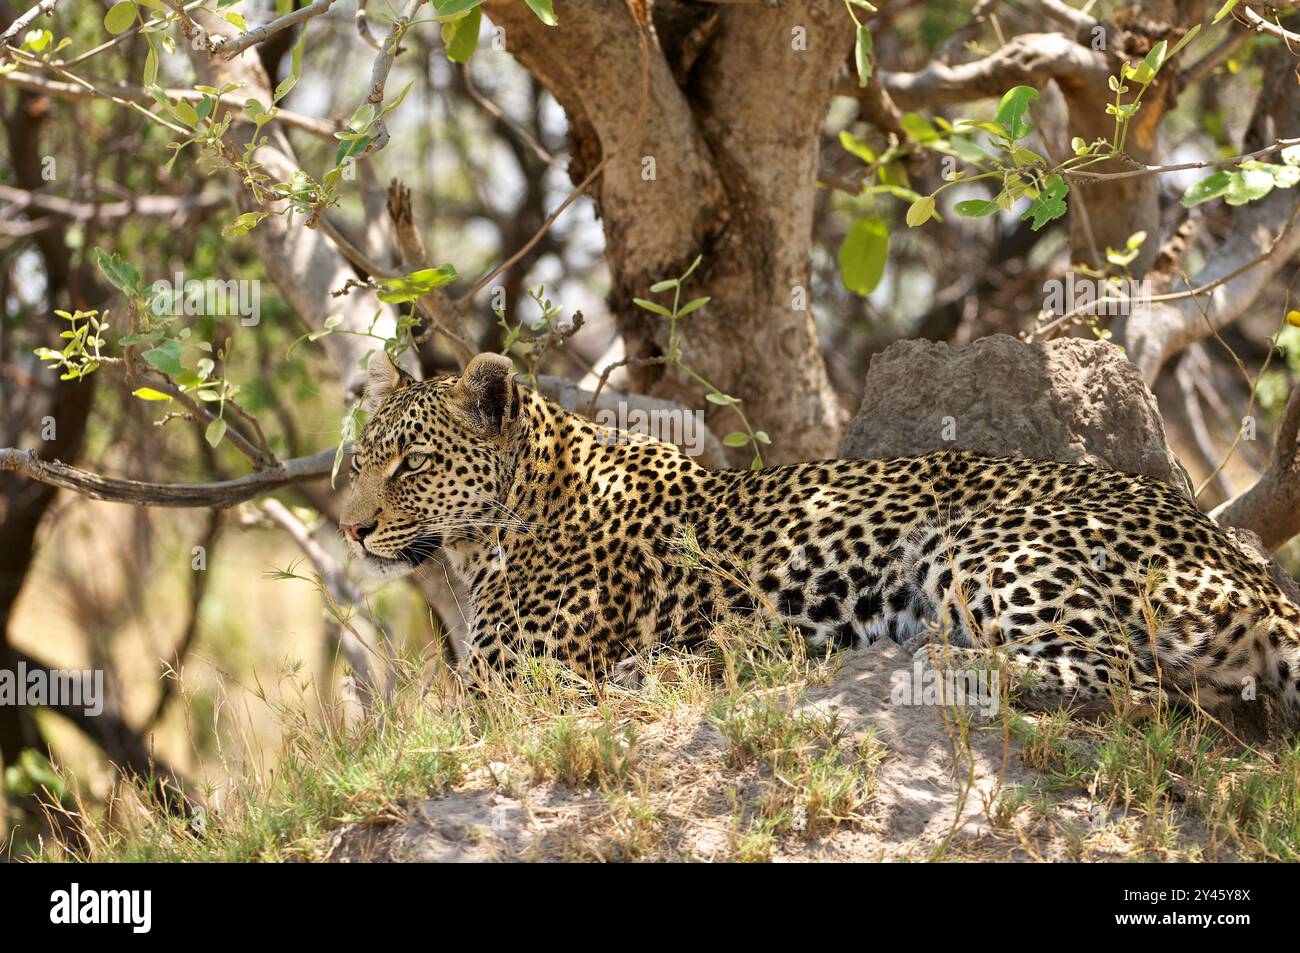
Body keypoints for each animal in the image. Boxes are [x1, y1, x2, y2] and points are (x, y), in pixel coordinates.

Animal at [340, 351, 1300, 716]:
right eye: (360, 458)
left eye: (410, 464)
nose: (350, 529)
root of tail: (1241, 564)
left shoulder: (512, 676)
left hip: (982, 542)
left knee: (1125, 680)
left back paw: (918, 661)